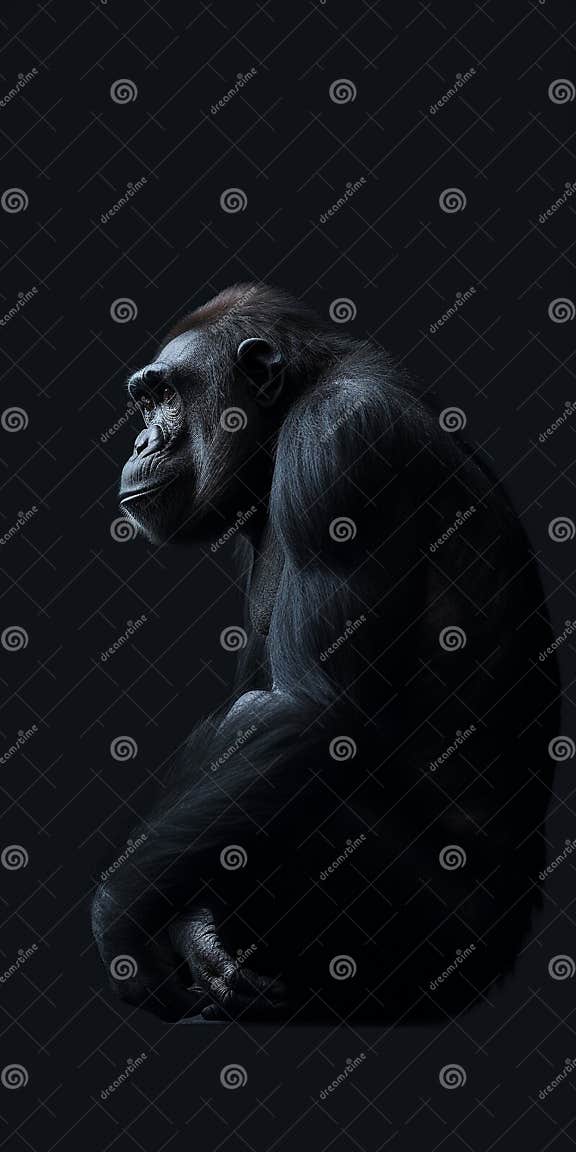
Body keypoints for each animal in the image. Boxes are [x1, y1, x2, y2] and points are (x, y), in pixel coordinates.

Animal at [92, 282, 560, 1023]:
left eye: (165, 396)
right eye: (144, 401)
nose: (141, 438)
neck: (286, 416)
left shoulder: (339, 450)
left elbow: (309, 711)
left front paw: (123, 924)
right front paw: (192, 935)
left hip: (432, 939)